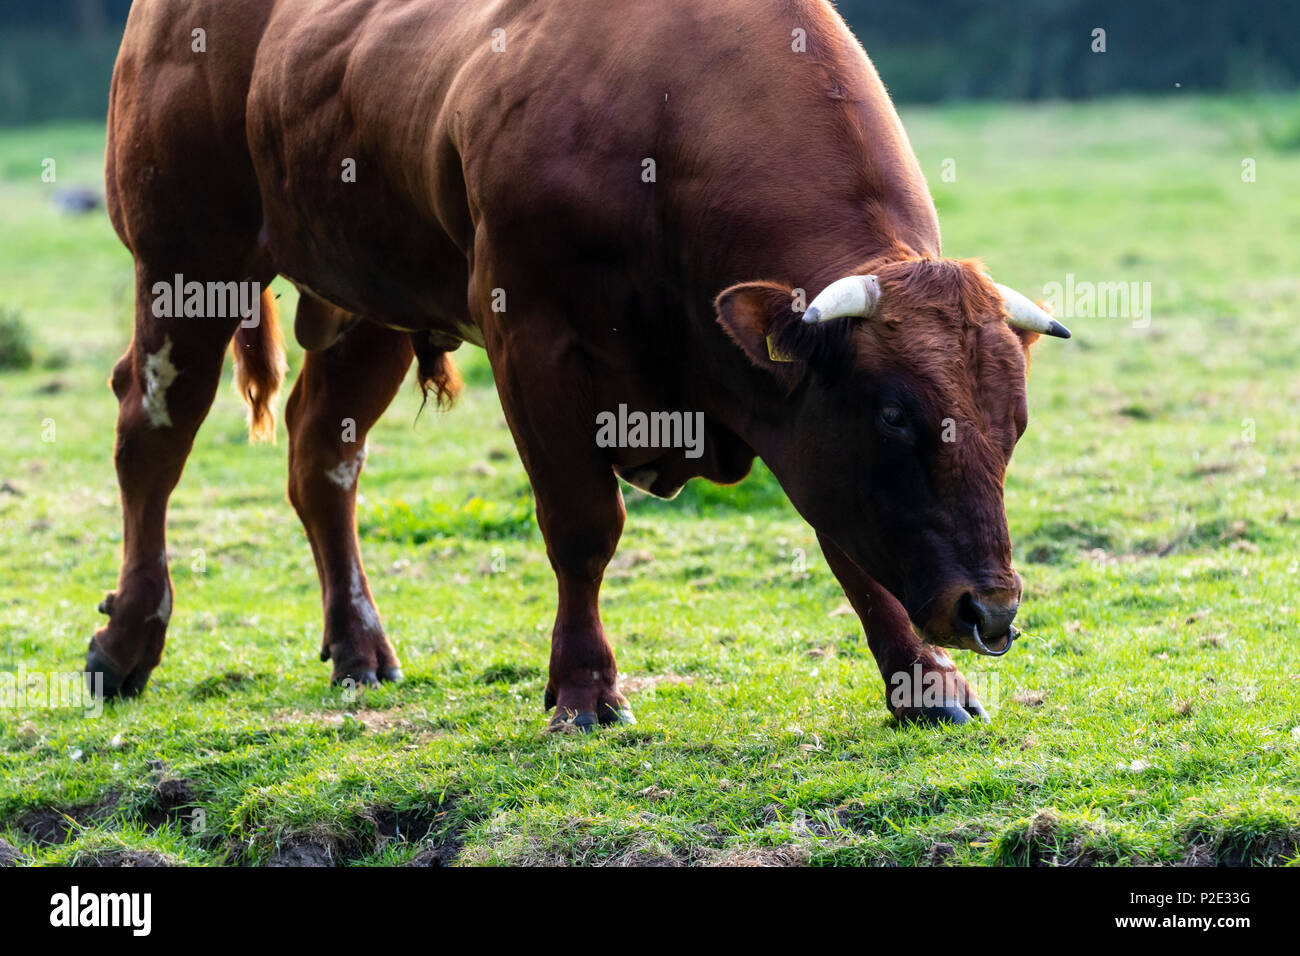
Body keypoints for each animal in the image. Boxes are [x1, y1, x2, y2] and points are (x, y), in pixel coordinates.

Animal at [90, 0, 1070, 728]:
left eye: (1015, 425)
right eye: (896, 416)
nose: (991, 611)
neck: (668, 124)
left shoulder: (780, 405)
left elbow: (849, 539)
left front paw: (925, 680)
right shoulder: (534, 340)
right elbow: (583, 524)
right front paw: (585, 689)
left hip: (371, 298)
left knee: (321, 456)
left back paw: (359, 646)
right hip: (184, 260)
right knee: (151, 437)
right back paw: (128, 640)